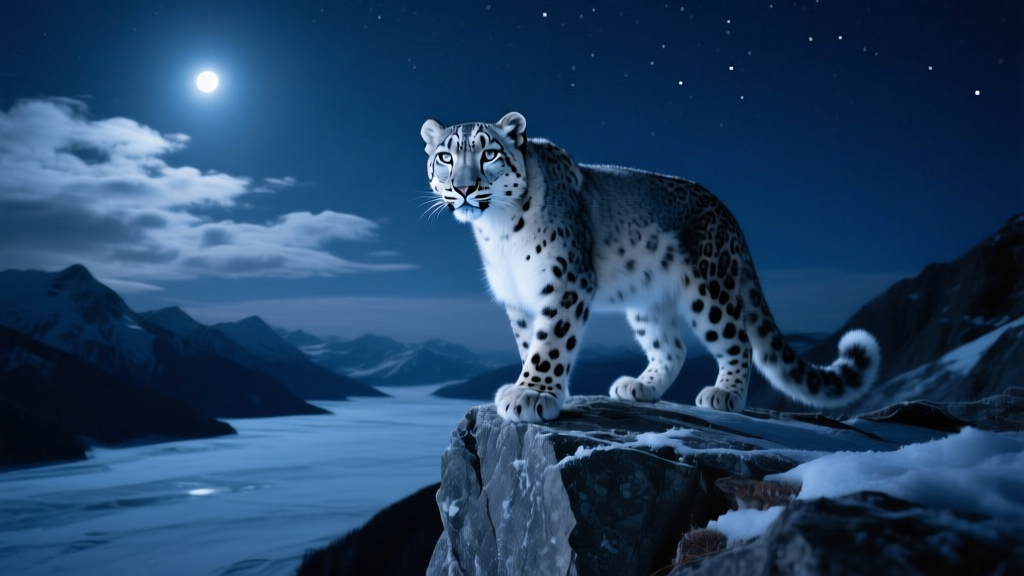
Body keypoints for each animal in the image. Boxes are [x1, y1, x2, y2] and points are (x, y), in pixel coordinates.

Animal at [420, 112, 880, 423]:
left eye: (490, 153)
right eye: (445, 156)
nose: (464, 188)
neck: (497, 233)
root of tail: (729, 213)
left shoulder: (566, 280)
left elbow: (551, 340)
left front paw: (531, 394)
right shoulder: (518, 297)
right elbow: (529, 341)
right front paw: (541, 389)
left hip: (710, 290)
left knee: (738, 340)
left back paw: (725, 395)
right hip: (646, 302)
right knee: (671, 347)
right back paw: (639, 387)